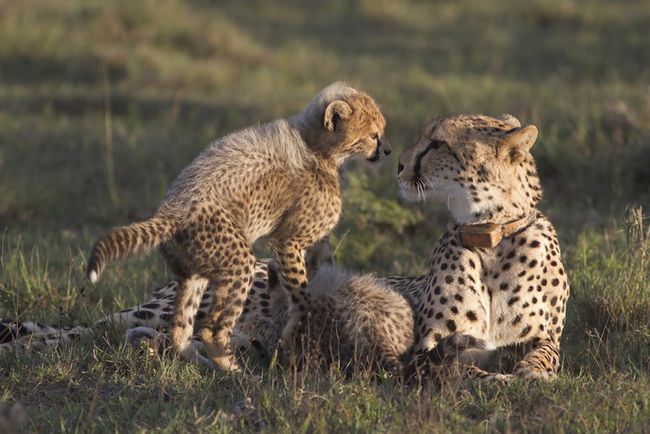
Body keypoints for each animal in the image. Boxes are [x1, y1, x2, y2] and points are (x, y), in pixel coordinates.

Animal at [85, 82, 391, 371]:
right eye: (373, 135)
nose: (387, 151)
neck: (316, 146)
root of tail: (171, 212)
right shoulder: (286, 241)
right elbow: (301, 296)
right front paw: (295, 331)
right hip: (238, 262)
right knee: (211, 329)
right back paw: (234, 369)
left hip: (196, 272)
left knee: (180, 331)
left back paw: (209, 364)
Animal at [397, 113, 570, 383]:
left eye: (437, 144)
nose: (399, 164)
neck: (489, 235)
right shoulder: (421, 356)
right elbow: (460, 370)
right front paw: (501, 379)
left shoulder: (543, 336)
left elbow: (544, 352)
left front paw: (532, 371)